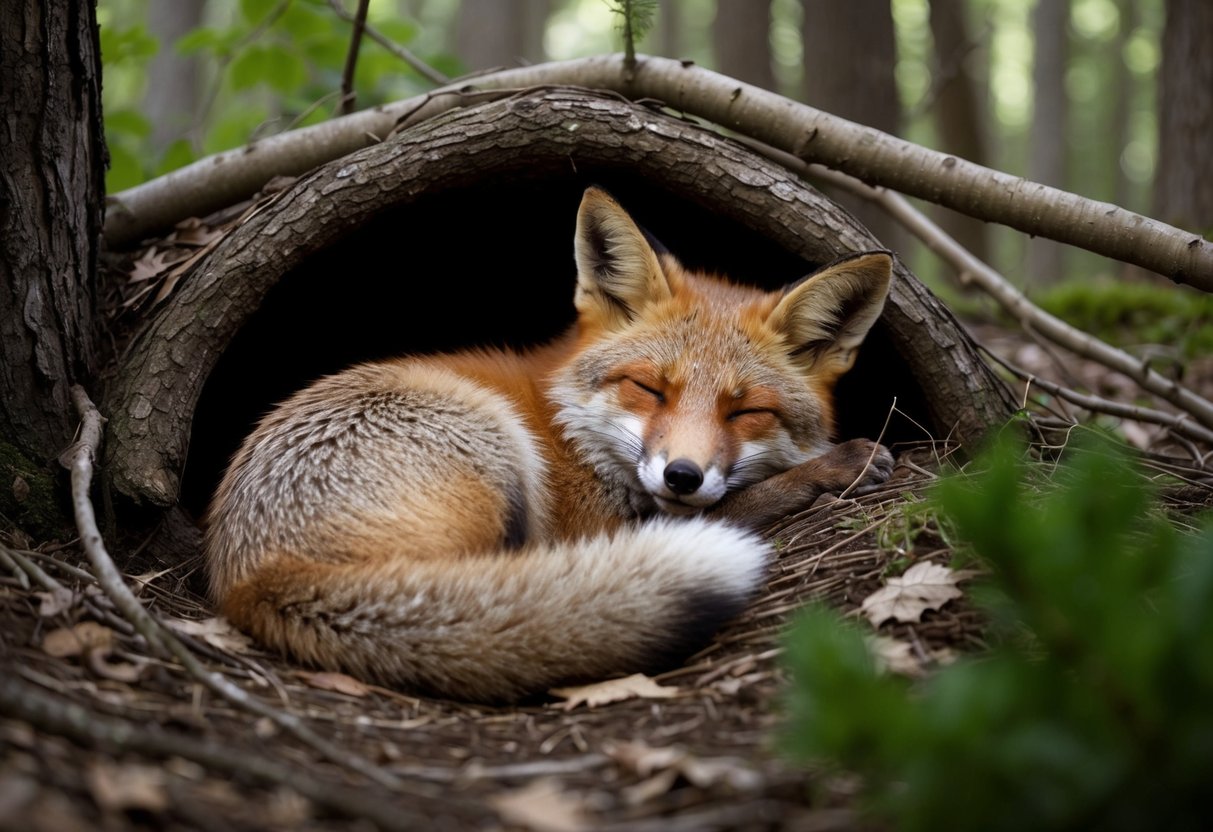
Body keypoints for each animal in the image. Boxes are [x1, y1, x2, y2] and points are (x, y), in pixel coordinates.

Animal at [203, 186, 895, 703]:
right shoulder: (598, 524)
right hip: (496, 445)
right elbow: (737, 505)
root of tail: (256, 573)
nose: (682, 475)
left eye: (747, 411)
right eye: (649, 388)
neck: (570, 428)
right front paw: (836, 465)